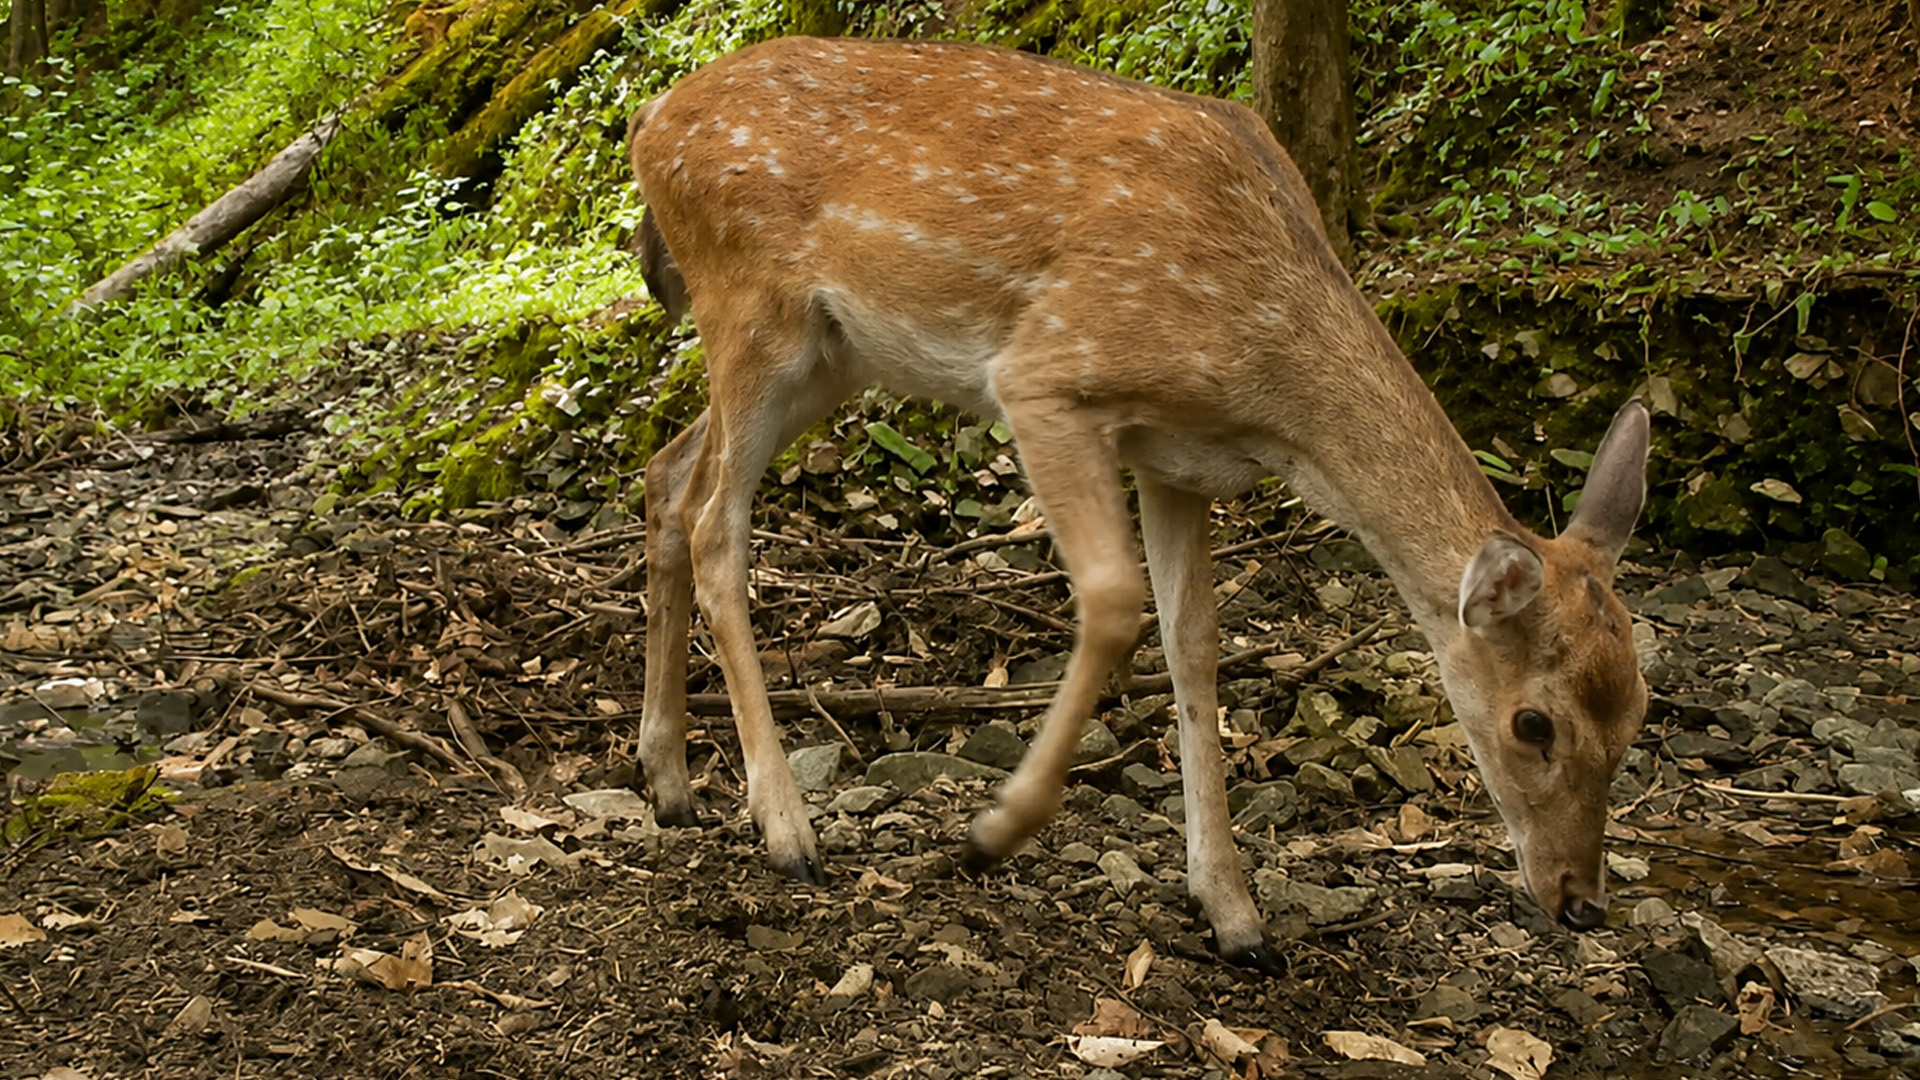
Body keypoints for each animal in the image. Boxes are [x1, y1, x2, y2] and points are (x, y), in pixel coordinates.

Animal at [626, 36, 1651, 972]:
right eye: (1533, 723)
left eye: (1640, 713)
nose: (1582, 902)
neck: (1263, 380)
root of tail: (648, 122)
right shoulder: (1047, 376)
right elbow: (1116, 600)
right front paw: (993, 834)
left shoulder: (1179, 463)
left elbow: (1192, 644)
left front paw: (1236, 917)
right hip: (752, 307)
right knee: (716, 520)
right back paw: (786, 829)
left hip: (834, 355)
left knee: (668, 477)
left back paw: (668, 778)